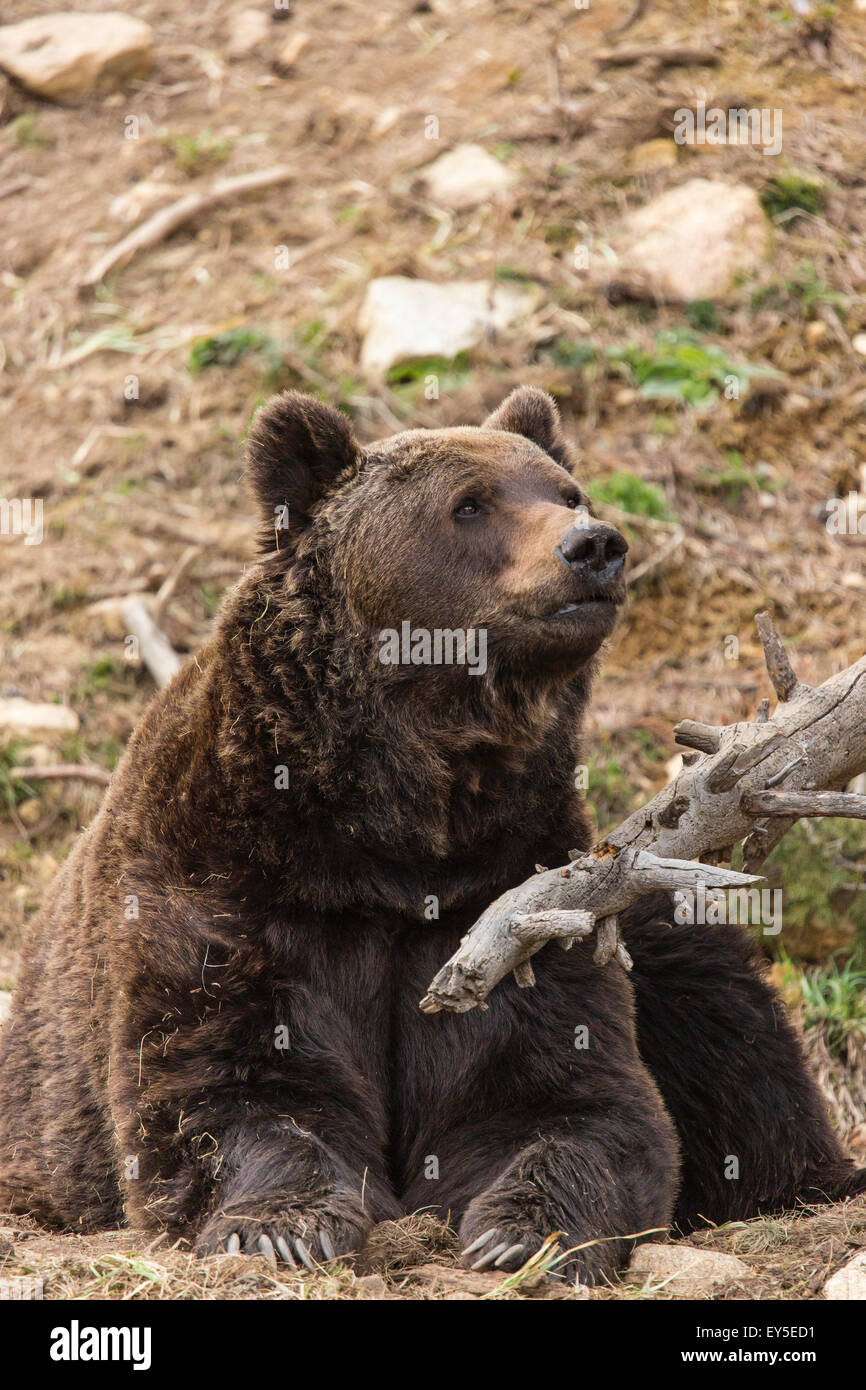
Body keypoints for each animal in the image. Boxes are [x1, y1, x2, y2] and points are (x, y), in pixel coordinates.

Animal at [0, 386, 862, 1285]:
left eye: (566, 492)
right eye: (468, 505)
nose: (594, 545)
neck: (397, 825)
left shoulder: (505, 898)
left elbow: (568, 1098)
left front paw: (524, 1232)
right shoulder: (226, 886)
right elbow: (230, 1090)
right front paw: (284, 1227)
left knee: (720, 1004)